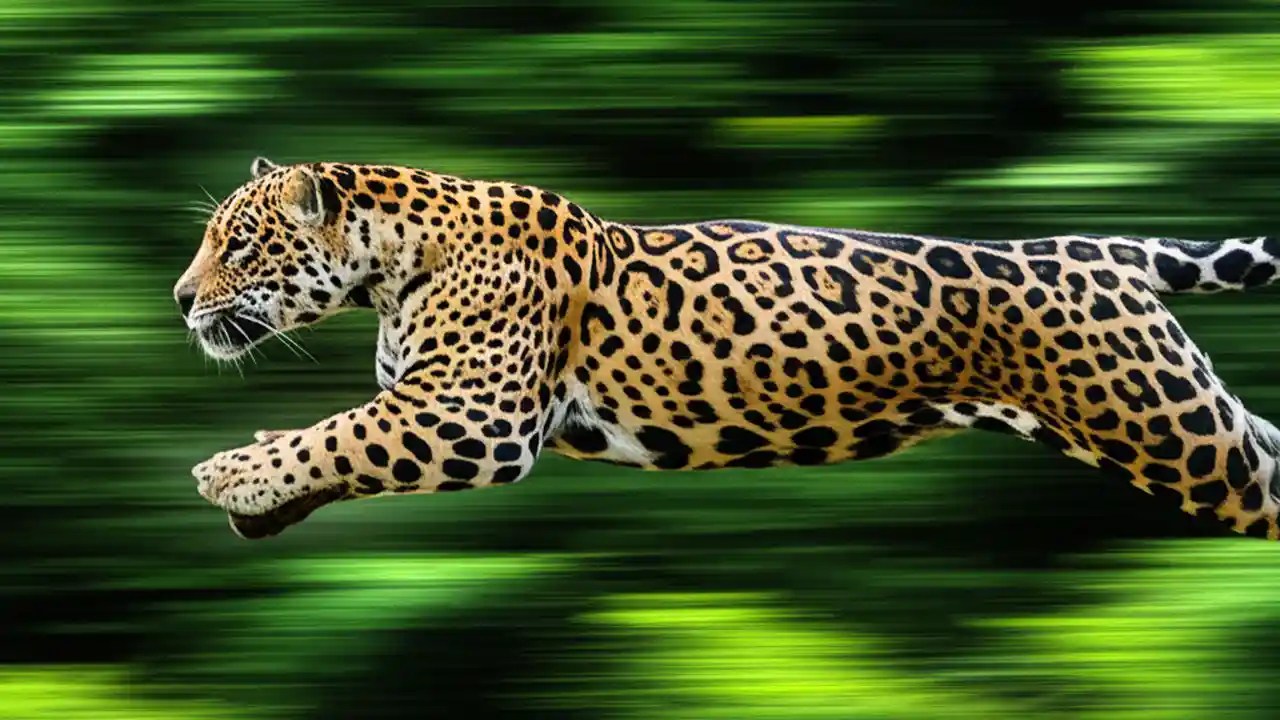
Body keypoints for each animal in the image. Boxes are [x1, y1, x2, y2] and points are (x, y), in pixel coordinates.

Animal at [175, 157, 1280, 540]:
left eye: (238, 244)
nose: (182, 301)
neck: (391, 254)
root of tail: (1088, 247)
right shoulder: (435, 412)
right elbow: (341, 442)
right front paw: (257, 487)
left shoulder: (469, 420)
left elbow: (337, 432)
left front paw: (232, 470)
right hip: (1184, 420)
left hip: (1171, 435)